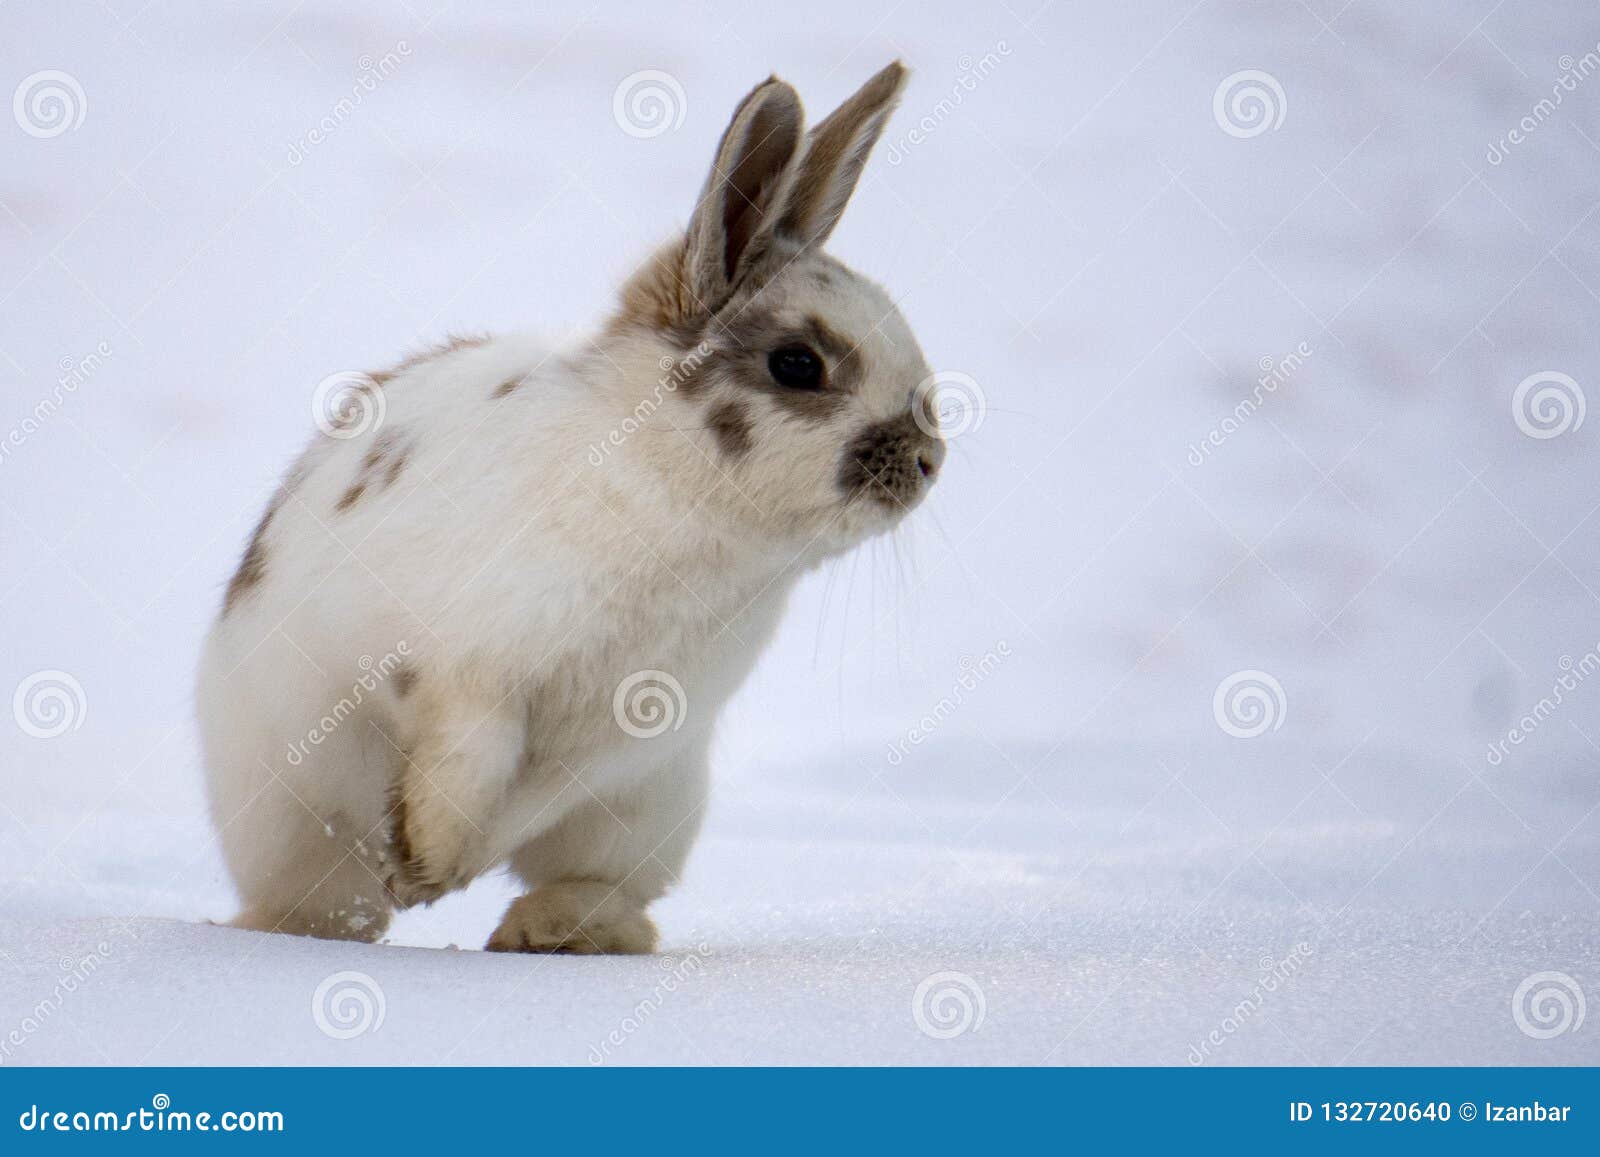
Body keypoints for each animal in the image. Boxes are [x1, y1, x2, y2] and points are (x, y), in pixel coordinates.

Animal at [194, 60, 945, 953]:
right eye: (798, 363)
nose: (929, 461)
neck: (672, 494)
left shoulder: (623, 741)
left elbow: (523, 806)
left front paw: (433, 875)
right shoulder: (469, 677)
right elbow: (466, 770)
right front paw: (423, 867)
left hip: (657, 808)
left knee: (601, 883)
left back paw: (553, 931)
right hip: (282, 801)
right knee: (327, 899)